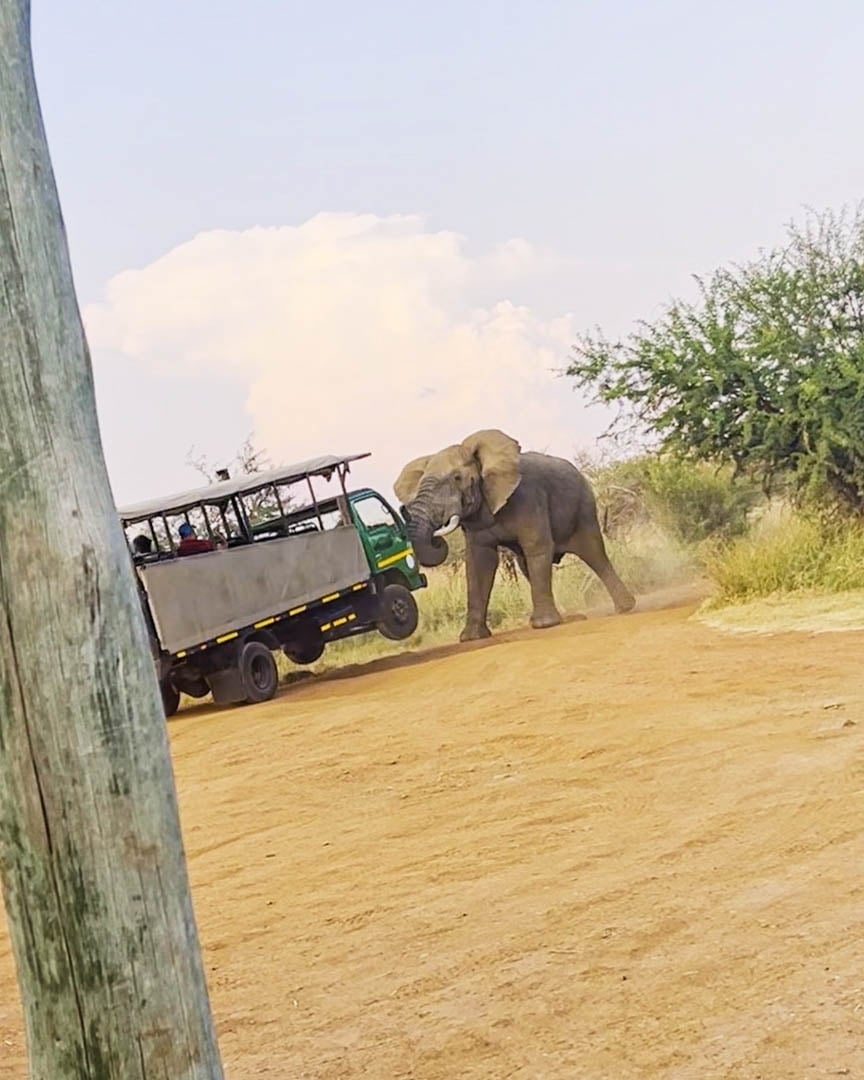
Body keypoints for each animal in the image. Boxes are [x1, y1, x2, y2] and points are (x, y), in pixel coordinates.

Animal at [393, 429, 635, 642]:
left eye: (457, 478)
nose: (436, 537)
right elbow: (479, 562)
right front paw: (471, 638)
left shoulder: (529, 495)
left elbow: (537, 545)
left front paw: (544, 625)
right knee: (526, 564)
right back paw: (567, 617)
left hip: (584, 507)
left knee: (593, 553)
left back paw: (625, 607)